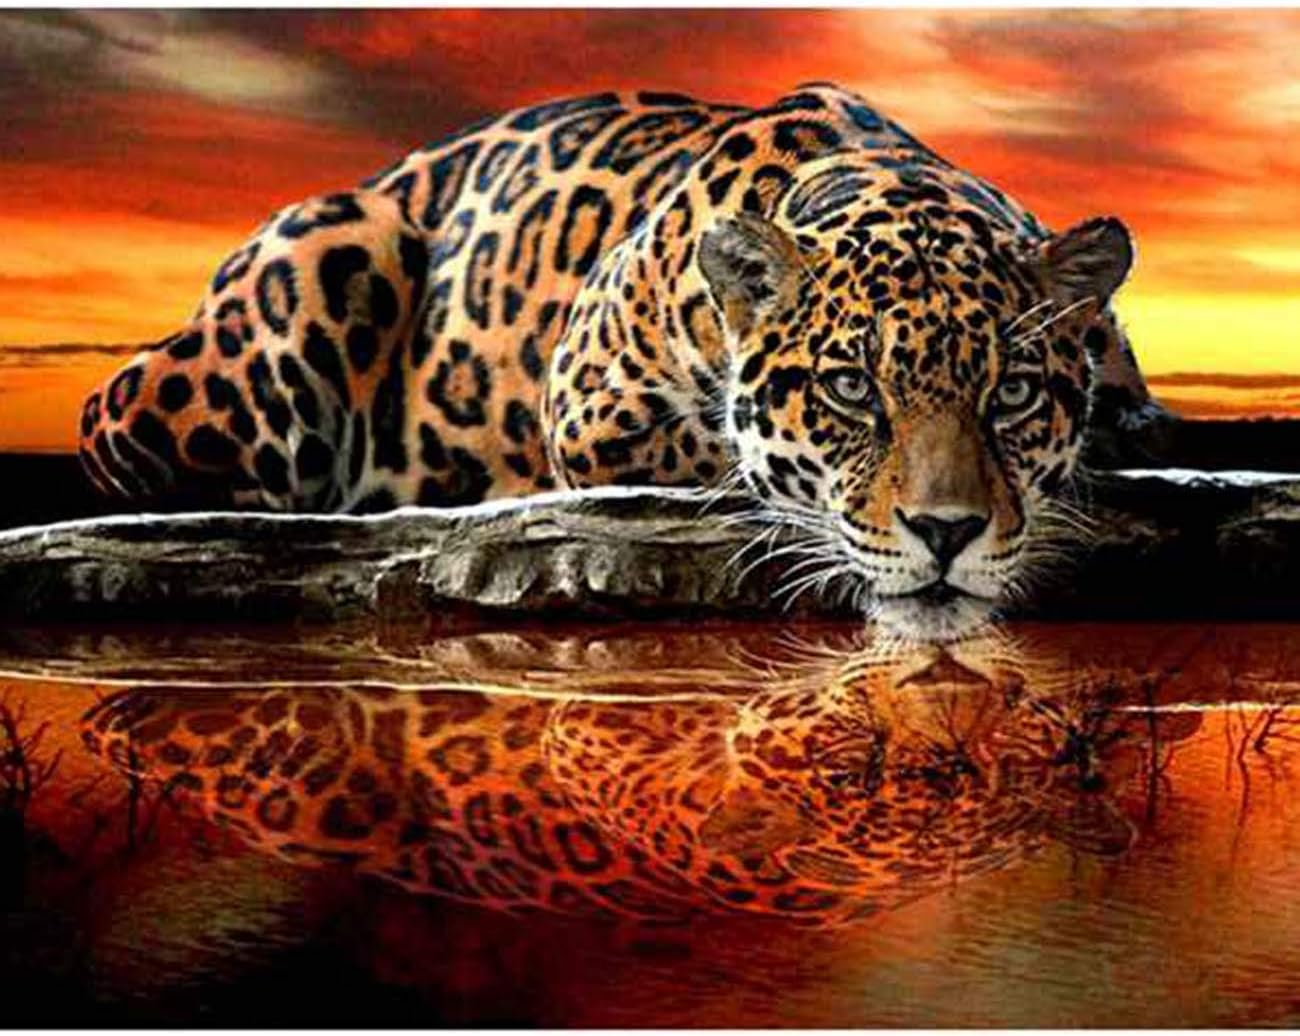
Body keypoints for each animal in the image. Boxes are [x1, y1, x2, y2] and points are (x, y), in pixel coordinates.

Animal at [77, 82, 1149, 632]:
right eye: (850, 389)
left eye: (1012, 394)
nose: (946, 534)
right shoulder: (594, 407)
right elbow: (726, 457)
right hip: (317, 261)